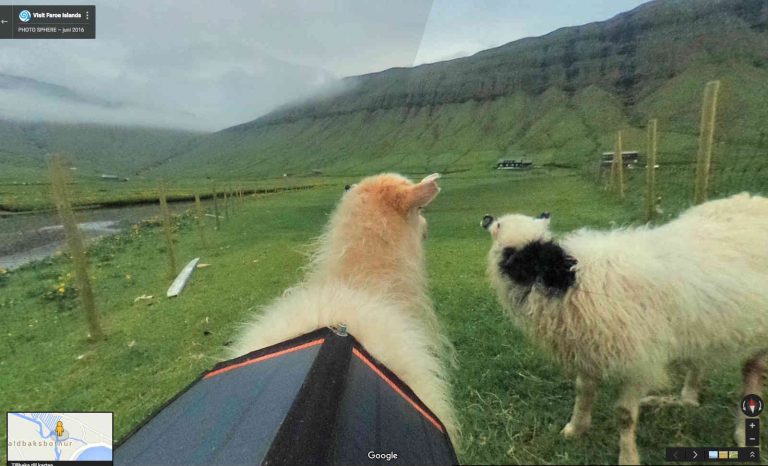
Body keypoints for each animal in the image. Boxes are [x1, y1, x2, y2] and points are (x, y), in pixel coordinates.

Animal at [482, 193, 768, 465]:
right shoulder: (589, 346)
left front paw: (627, 457)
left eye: (498, 226)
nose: (486, 218)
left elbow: (625, 415)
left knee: (752, 373)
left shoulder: (638, 358)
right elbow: (583, 391)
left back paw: (743, 434)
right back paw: (679, 400)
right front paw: (575, 428)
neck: (567, 277)